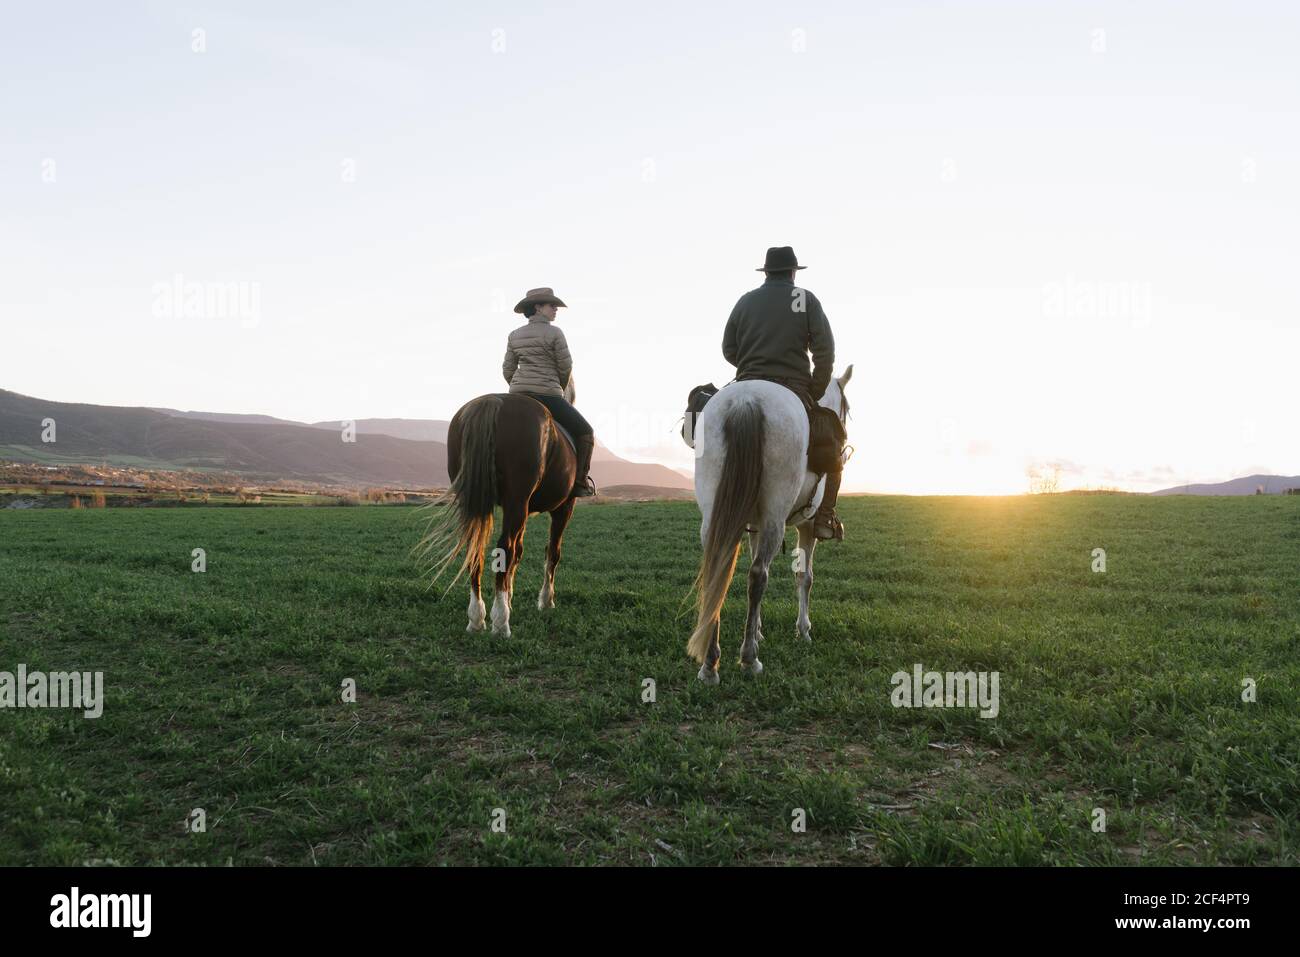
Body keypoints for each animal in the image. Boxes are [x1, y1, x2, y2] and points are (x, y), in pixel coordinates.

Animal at [417, 378, 581, 637]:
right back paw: (501, 621)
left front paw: (511, 597)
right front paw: (545, 601)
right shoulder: (563, 508)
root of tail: (493, 401)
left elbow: (520, 552)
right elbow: (552, 553)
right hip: (518, 500)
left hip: (481, 501)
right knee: (505, 548)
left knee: (477, 549)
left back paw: (477, 617)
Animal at [685, 366, 853, 683]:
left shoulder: (754, 524)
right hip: (776, 516)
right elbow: (805, 577)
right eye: (847, 409)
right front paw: (803, 630)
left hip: (714, 513)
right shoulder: (806, 527)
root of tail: (746, 401)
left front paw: (759, 630)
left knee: (718, 571)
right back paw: (749, 659)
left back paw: (709, 664)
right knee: (758, 575)